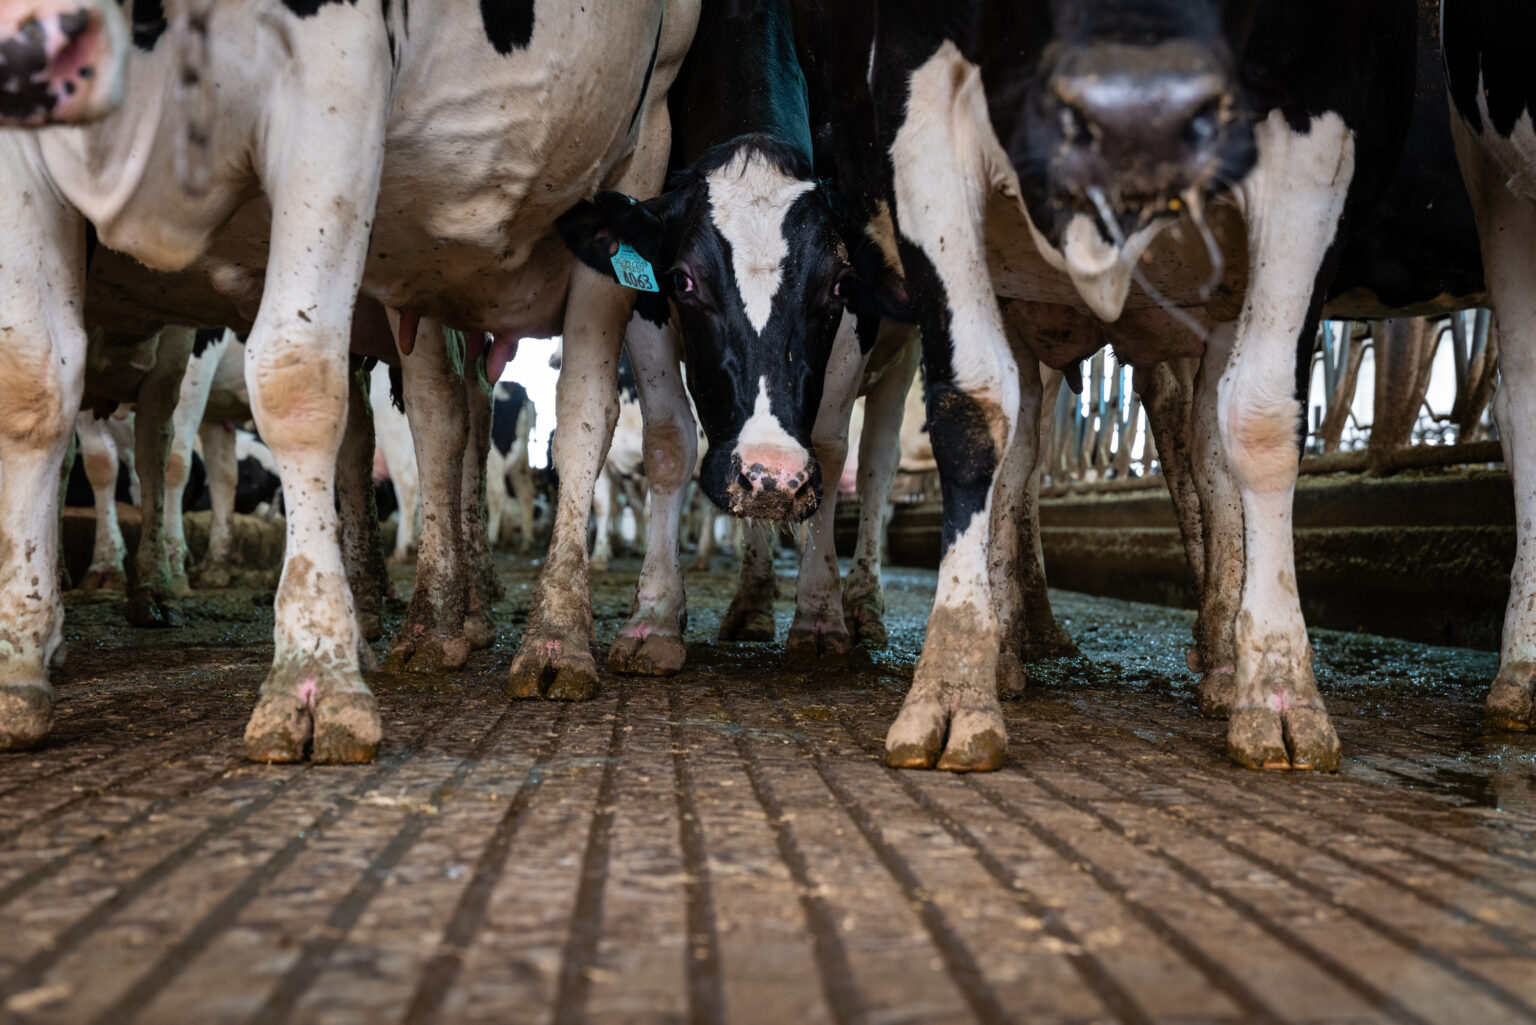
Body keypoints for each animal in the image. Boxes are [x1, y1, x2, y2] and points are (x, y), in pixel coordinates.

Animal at [0, 0, 699, 759]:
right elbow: (33, 384)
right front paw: (20, 667)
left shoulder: (334, 72)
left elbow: (293, 378)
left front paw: (313, 672)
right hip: (425, 258)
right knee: (442, 418)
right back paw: (433, 622)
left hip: (640, 149)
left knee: (580, 412)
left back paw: (556, 635)